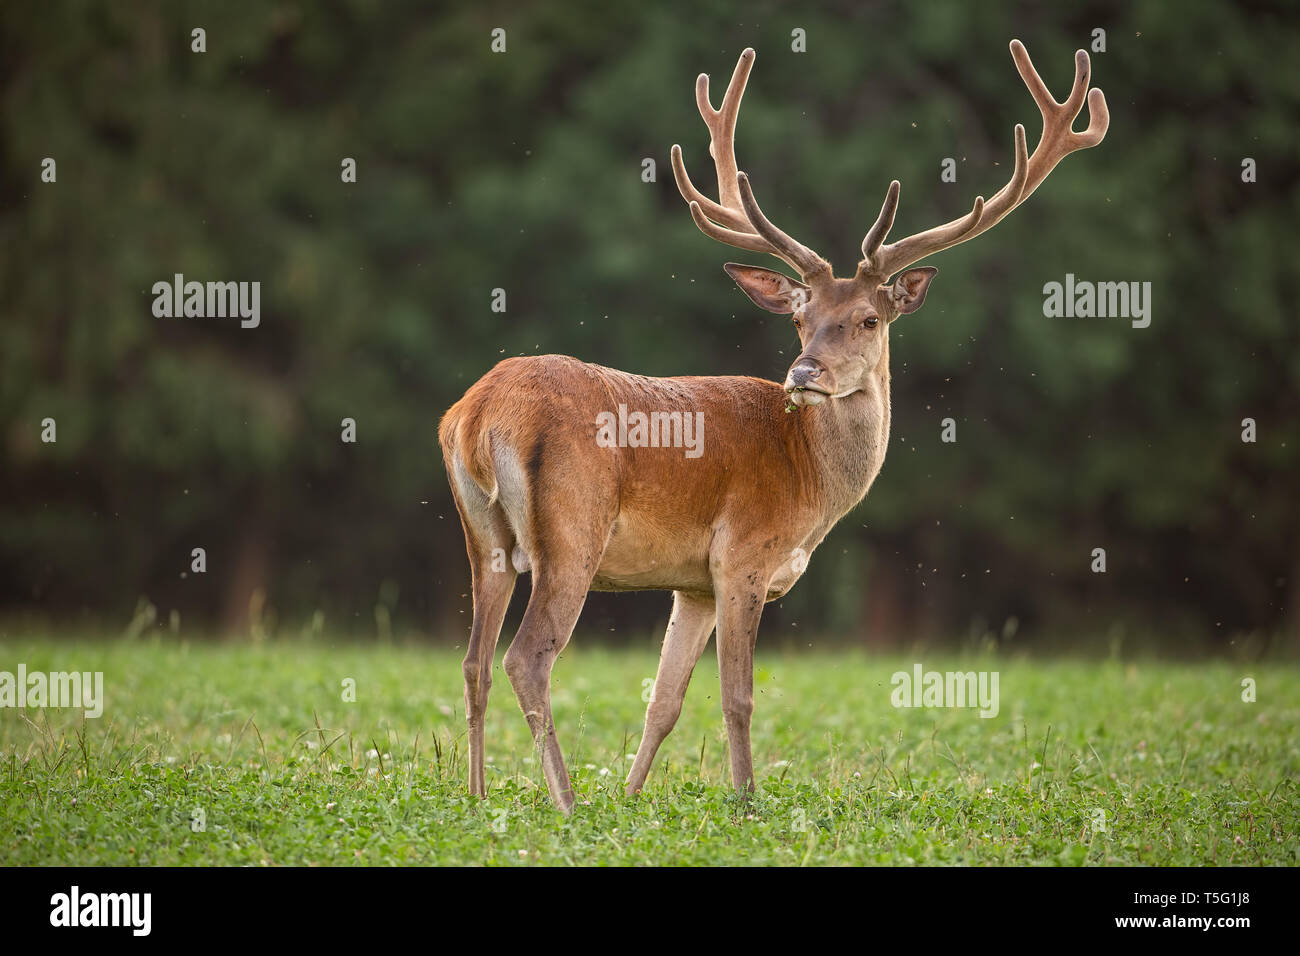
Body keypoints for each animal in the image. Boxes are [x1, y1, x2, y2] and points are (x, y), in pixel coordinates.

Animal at [438, 40, 1108, 812]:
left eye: (869, 319)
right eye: (799, 317)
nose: (804, 371)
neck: (811, 480)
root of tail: (477, 413)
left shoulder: (692, 583)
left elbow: (663, 701)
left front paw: (633, 800)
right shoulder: (744, 555)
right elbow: (739, 697)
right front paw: (745, 800)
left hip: (483, 536)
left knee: (474, 660)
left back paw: (477, 795)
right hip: (572, 529)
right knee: (528, 657)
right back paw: (567, 802)